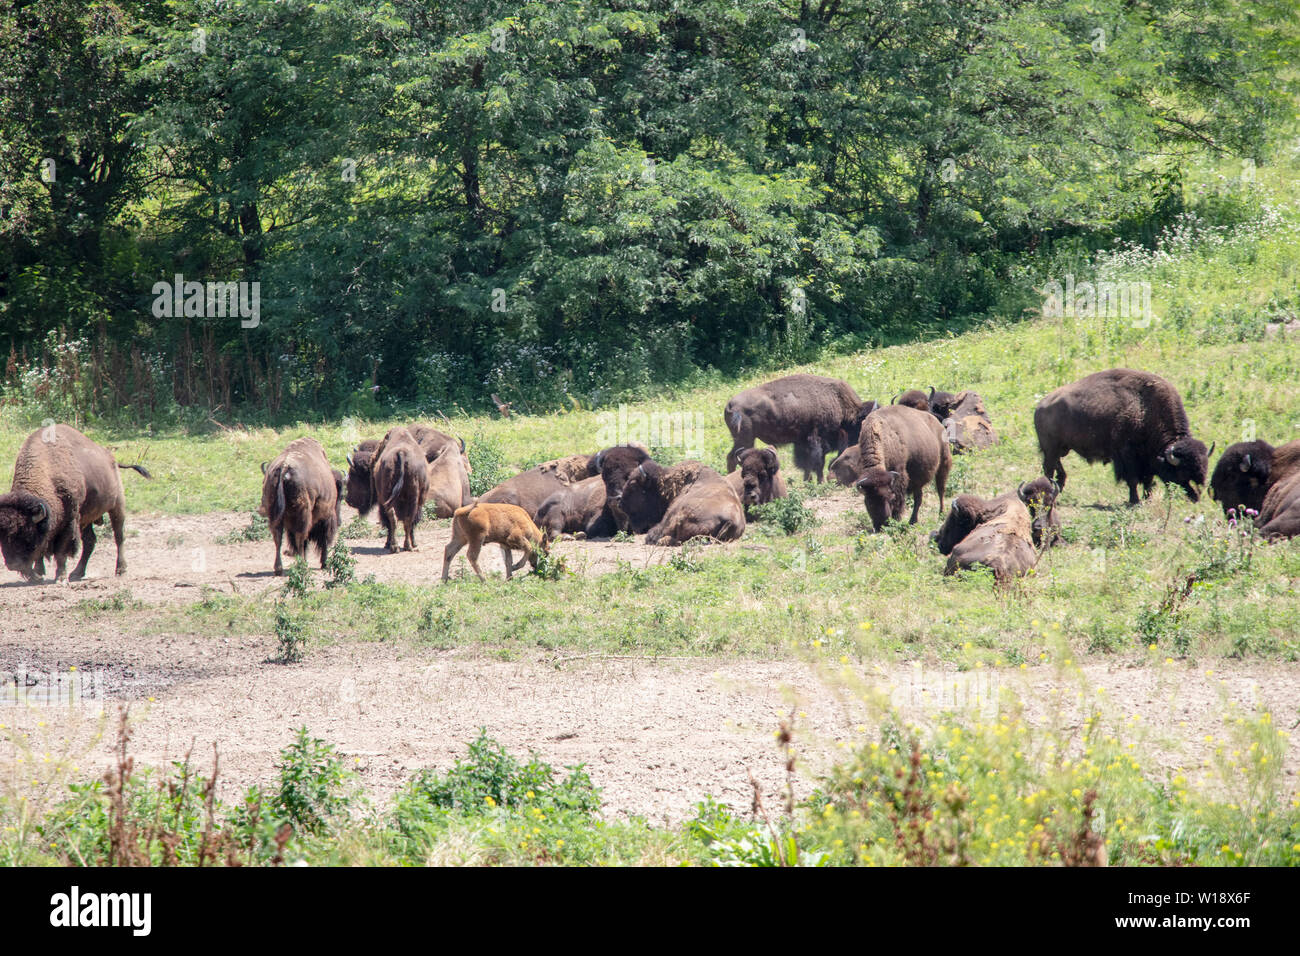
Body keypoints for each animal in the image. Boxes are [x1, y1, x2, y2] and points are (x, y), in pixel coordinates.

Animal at [0, 424, 152, 582]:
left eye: (28, 535)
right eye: (1, 536)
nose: (12, 564)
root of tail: (113, 460)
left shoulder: (69, 519)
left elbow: (61, 551)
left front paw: (60, 577)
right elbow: (43, 551)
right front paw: (39, 572)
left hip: (117, 506)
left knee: (119, 535)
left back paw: (121, 569)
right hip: (86, 517)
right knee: (90, 541)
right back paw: (77, 572)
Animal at [259, 437, 342, 574]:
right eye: (341, 497)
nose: (340, 522)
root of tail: (284, 468)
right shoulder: (327, 515)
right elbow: (324, 539)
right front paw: (324, 563)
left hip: (274, 513)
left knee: (278, 537)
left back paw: (279, 568)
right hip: (303, 512)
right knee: (300, 536)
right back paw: (302, 564)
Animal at [724, 374, 877, 482]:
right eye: (860, 426)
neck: (837, 400)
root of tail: (730, 405)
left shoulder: (802, 442)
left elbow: (806, 463)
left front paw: (807, 481)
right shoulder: (817, 440)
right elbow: (817, 462)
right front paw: (819, 482)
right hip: (746, 439)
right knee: (733, 457)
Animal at [1034, 368, 1212, 505]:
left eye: (1204, 472)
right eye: (1182, 473)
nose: (1195, 497)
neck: (1147, 409)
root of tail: (1040, 405)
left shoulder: (1147, 459)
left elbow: (1148, 480)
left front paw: (1147, 499)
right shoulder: (1127, 455)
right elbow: (1132, 479)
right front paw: (1135, 501)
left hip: (1061, 448)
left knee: (1055, 466)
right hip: (1052, 448)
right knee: (1048, 469)